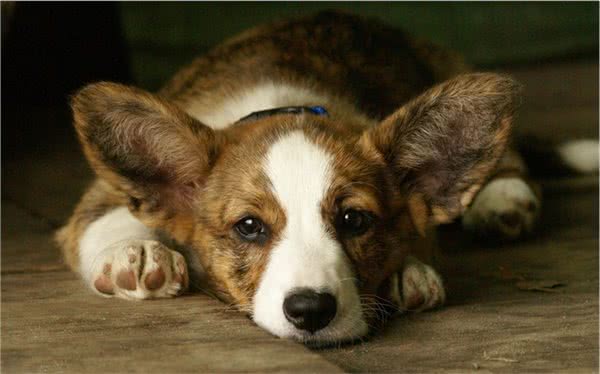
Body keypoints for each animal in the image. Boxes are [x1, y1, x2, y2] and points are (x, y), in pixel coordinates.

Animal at [57, 10, 544, 344]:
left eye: (354, 220)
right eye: (249, 226)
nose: (310, 311)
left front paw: (408, 272)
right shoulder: (101, 196)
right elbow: (109, 218)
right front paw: (135, 255)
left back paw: (503, 197)